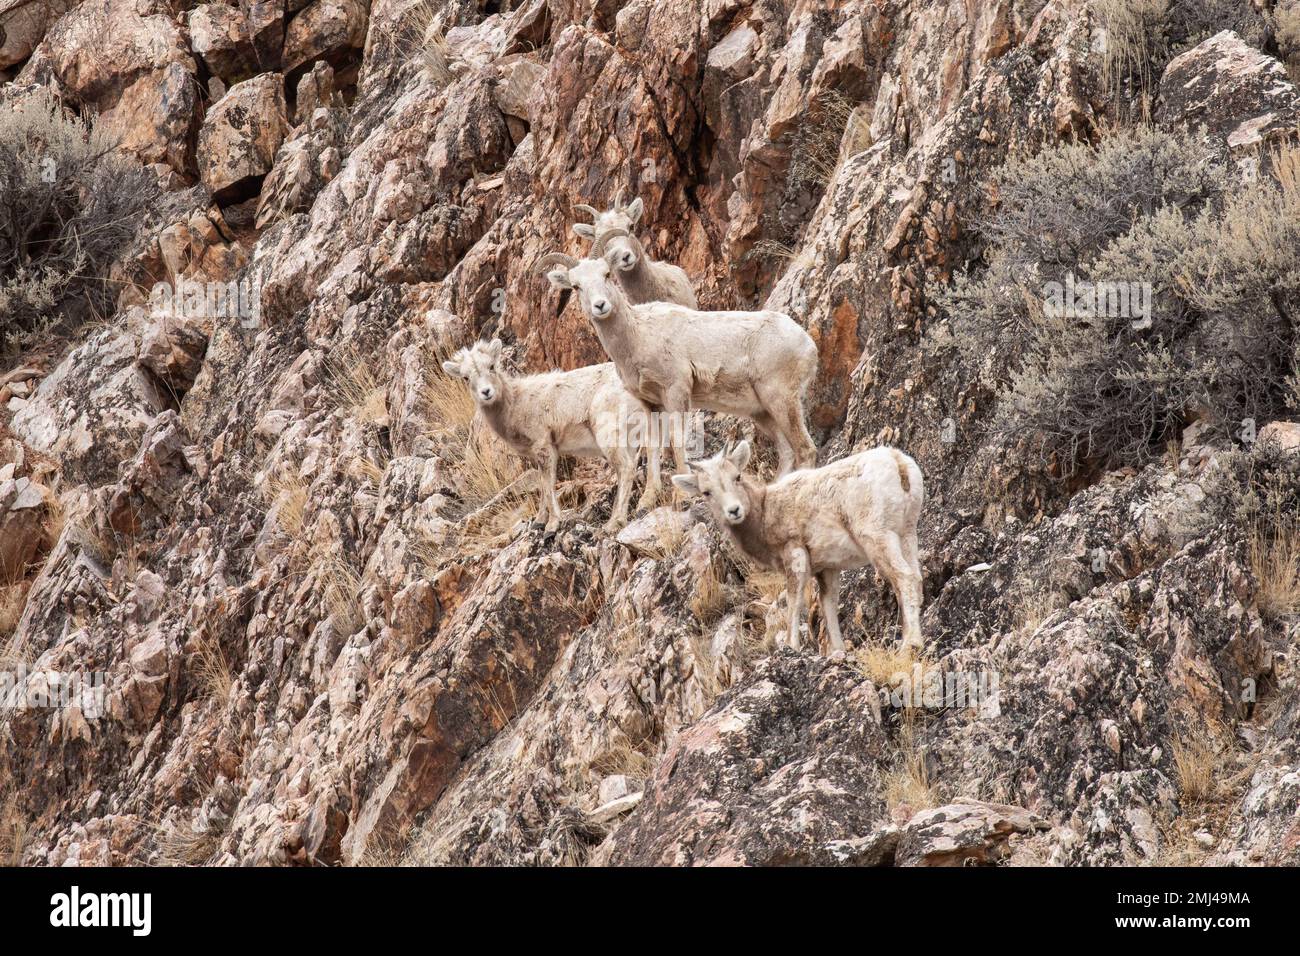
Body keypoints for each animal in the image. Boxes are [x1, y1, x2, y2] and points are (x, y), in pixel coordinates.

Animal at [441, 339, 662, 533]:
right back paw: (645, 502)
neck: (516, 403)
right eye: (466, 377)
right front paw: (539, 521)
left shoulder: (545, 448)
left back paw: (613, 523)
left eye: (492, 366)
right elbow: (542, 486)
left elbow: (548, 486)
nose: (486, 392)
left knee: (626, 468)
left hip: (609, 435)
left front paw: (552, 525)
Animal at [537, 251, 818, 477]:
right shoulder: (650, 403)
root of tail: (807, 343)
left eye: (607, 274)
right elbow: (653, 445)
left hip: (781, 401)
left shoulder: (676, 391)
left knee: (805, 450)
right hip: (762, 412)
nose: (600, 306)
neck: (637, 336)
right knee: (788, 452)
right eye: (576, 286)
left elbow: (677, 439)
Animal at [672, 441, 925, 655]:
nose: (734, 511)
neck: (766, 511)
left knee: (905, 578)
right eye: (706, 492)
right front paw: (838, 652)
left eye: (737, 476)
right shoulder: (828, 569)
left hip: (877, 537)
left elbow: (794, 601)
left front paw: (790, 646)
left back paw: (910, 645)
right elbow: (828, 605)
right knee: (916, 578)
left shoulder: (794, 554)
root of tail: (898, 462)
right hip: (907, 535)